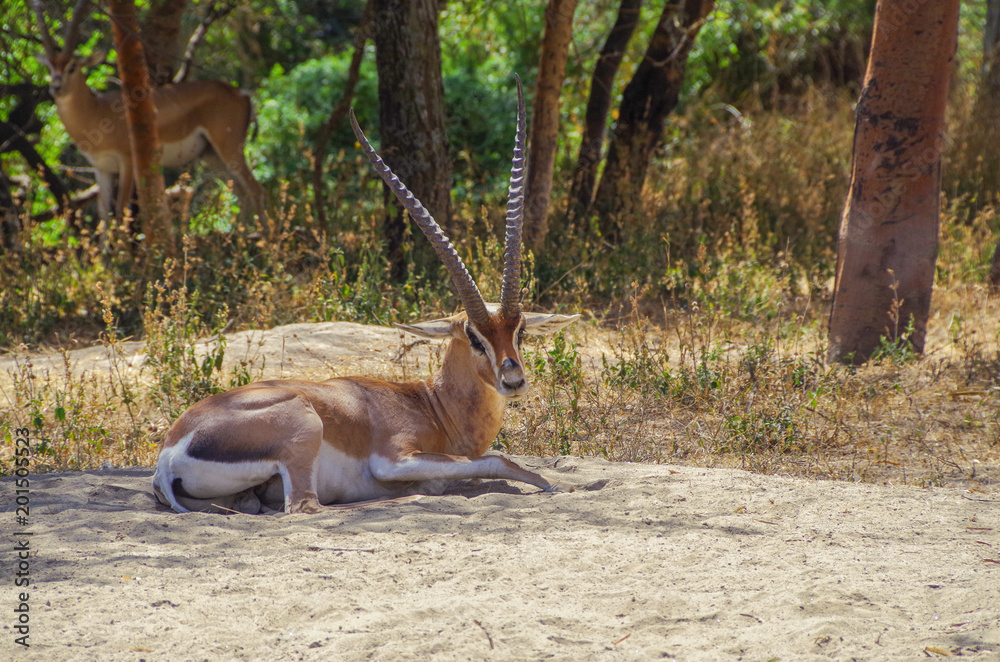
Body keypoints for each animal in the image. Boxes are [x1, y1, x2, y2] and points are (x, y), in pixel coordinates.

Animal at [32, 0, 264, 221]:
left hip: (228, 148)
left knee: (257, 189)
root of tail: (242, 95)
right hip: (211, 155)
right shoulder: (102, 169)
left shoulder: (127, 161)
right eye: (50, 67)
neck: (97, 113)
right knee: (242, 192)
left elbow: (120, 210)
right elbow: (103, 217)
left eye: (72, 66)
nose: (56, 87)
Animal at [153, 77, 580, 514]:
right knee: (305, 506)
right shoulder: (395, 459)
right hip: (305, 428)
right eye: (473, 337)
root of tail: (169, 456)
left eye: (520, 331)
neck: (431, 403)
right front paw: (555, 485)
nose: (513, 379)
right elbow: (498, 459)